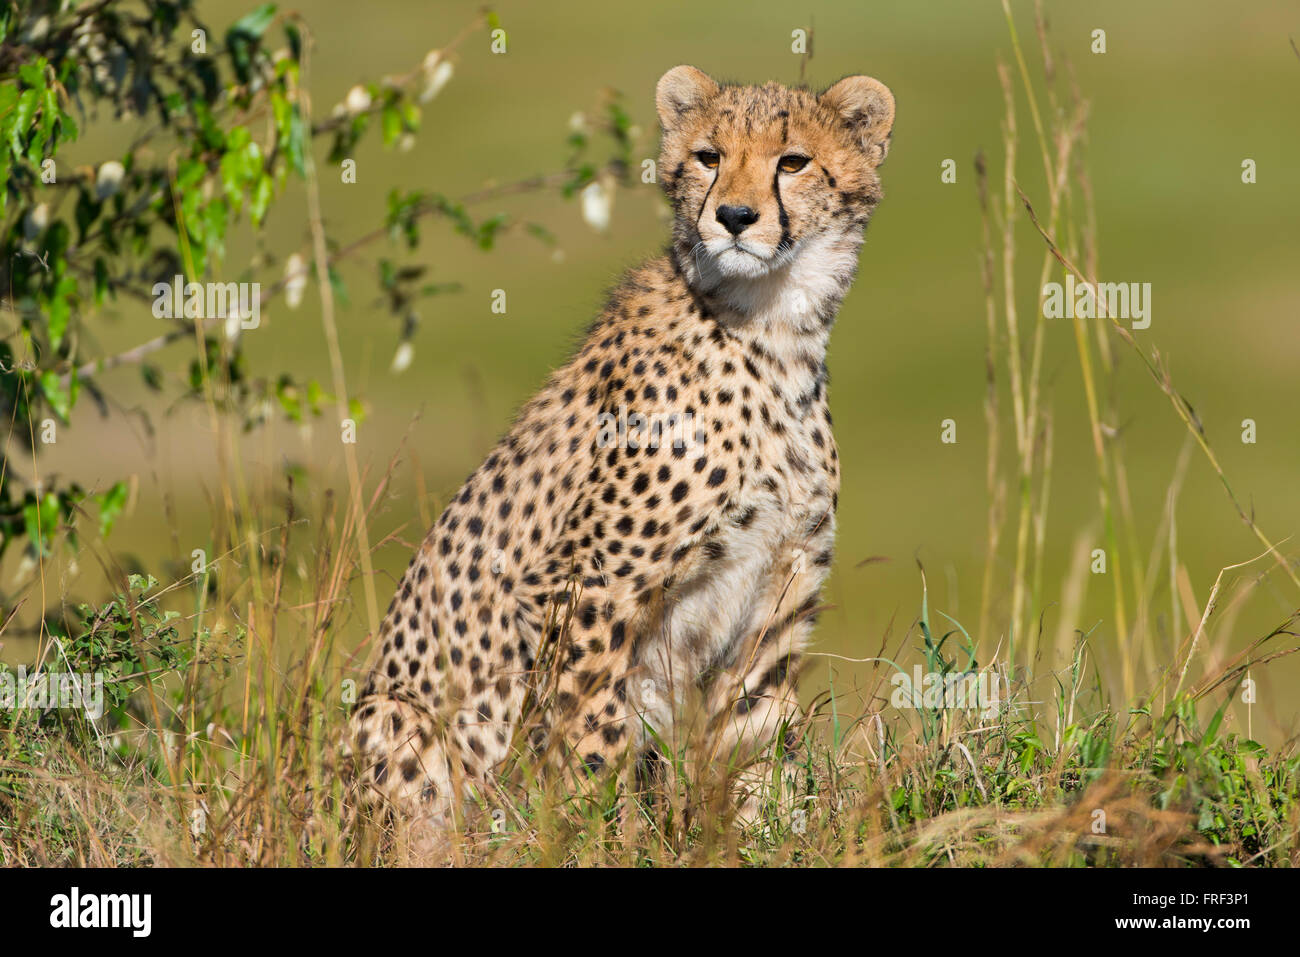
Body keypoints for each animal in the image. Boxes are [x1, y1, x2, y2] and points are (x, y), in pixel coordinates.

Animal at [348, 64, 895, 838]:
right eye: (708, 156)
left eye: (793, 162)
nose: (734, 216)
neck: (771, 328)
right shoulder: (586, 583)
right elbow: (589, 731)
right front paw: (578, 832)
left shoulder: (779, 592)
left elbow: (756, 736)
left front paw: (761, 831)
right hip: (394, 714)